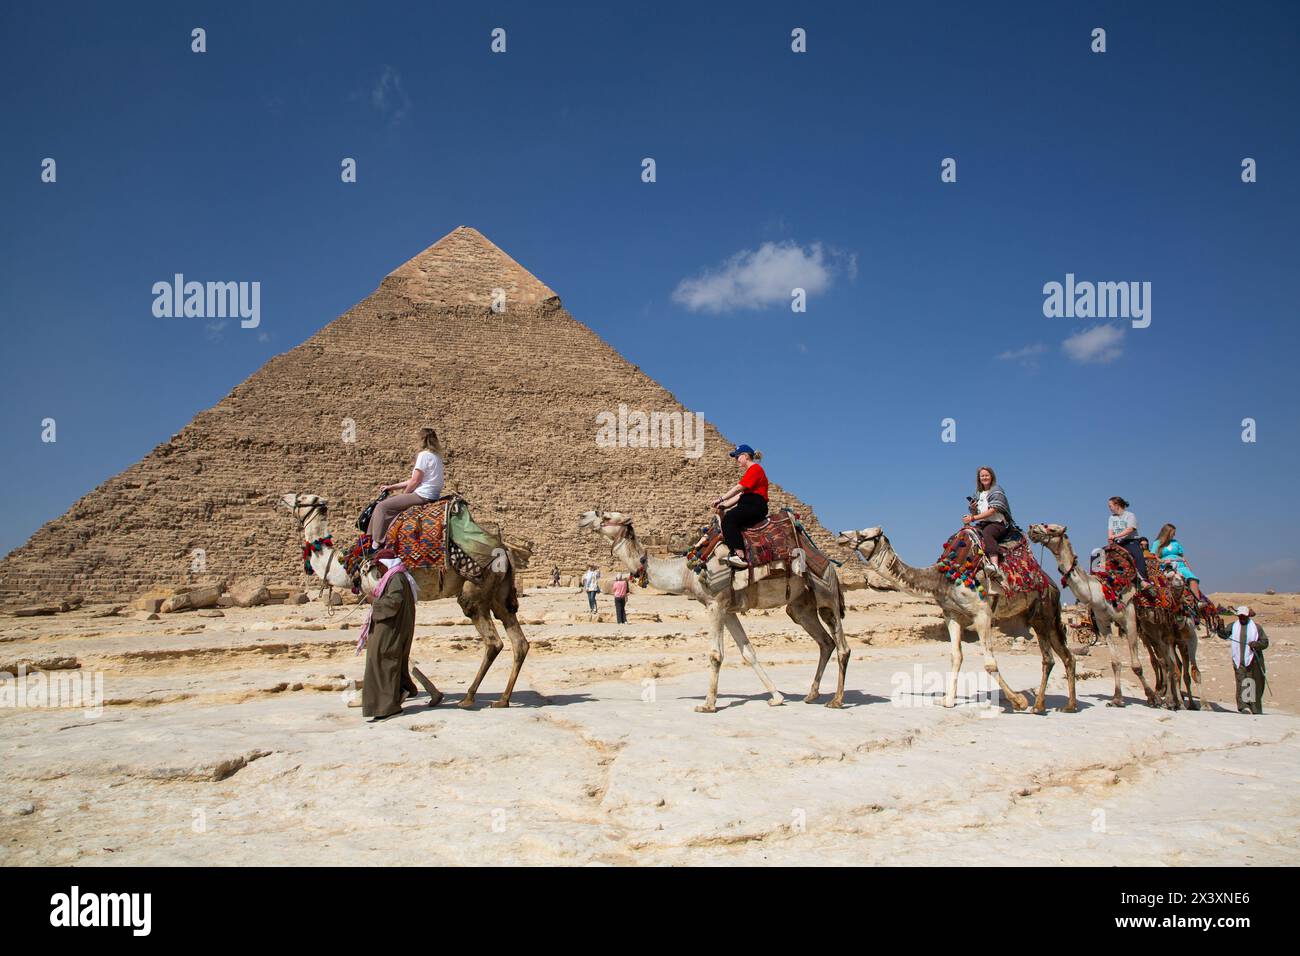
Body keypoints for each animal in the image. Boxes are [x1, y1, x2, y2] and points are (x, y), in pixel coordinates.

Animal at [281, 493, 532, 708]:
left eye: (303, 498)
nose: (283, 498)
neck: (347, 564)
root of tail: (504, 551)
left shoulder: (378, 593)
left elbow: (383, 638)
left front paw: (374, 697)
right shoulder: (406, 598)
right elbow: (405, 641)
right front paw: (419, 691)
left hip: (475, 592)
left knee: (493, 641)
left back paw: (469, 697)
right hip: (499, 596)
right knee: (519, 641)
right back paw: (503, 699)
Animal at [576, 510, 850, 711]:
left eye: (606, 516)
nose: (583, 517)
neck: (686, 571)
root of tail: (828, 562)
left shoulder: (715, 604)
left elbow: (715, 654)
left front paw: (708, 704)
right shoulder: (728, 610)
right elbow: (749, 653)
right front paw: (776, 697)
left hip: (825, 593)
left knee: (842, 647)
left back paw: (836, 700)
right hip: (800, 607)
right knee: (825, 643)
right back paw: (811, 694)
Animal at [836, 527, 1076, 714]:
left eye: (863, 534)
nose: (840, 536)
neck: (941, 578)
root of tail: (1051, 582)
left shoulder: (982, 614)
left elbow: (989, 664)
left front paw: (1019, 701)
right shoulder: (951, 616)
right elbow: (956, 657)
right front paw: (948, 700)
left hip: (1047, 610)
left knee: (1061, 655)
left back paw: (1058, 705)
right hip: (1035, 618)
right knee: (1053, 658)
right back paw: (1045, 706)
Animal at [1026, 523, 1181, 709]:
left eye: (1052, 529)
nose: (1032, 529)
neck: (1099, 591)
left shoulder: (1129, 619)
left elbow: (1136, 665)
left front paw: (1151, 697)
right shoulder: (1103, 622)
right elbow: (1115, 662)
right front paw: (1116, 699)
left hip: (1162, 623)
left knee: (1169, 660)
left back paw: (1171, 700)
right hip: (1150, 628)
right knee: (1164, 660)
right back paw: (1166, 696)